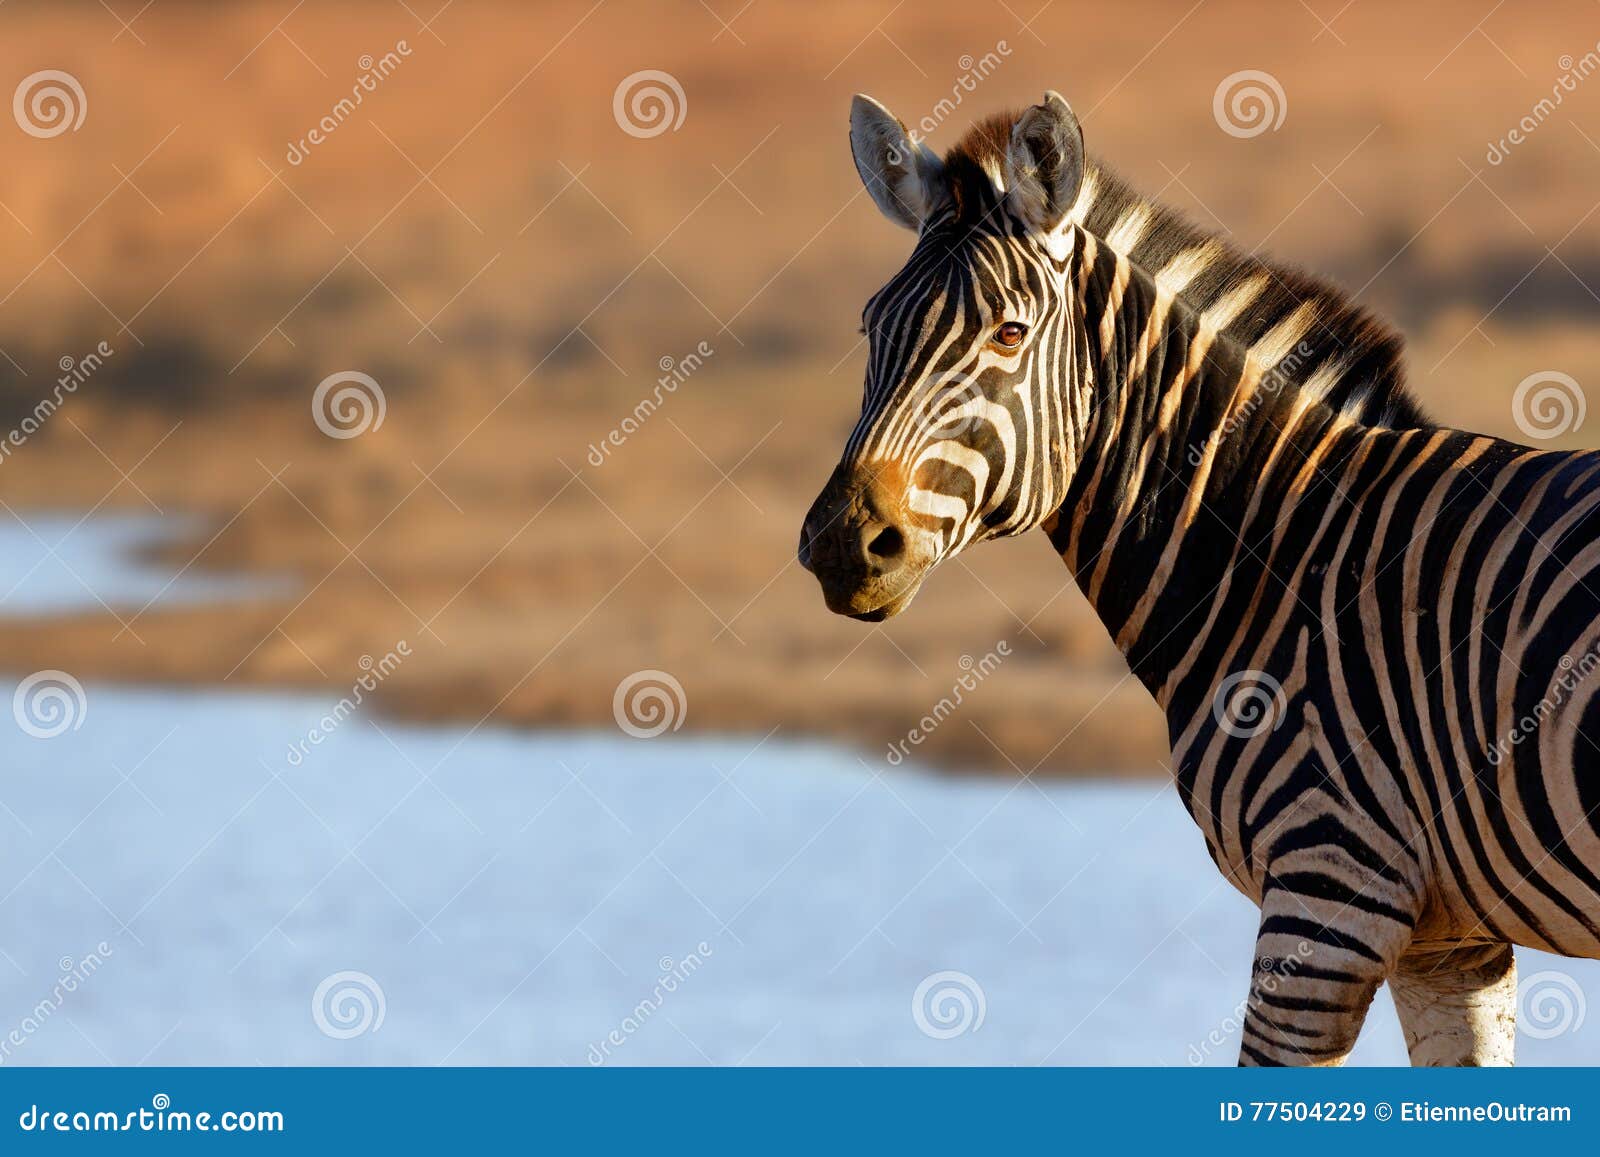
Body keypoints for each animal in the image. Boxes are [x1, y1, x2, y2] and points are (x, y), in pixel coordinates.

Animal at [798, 91, 1600, 1066]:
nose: (841, 542)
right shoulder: (1449, 938)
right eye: (871, 328)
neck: (1284, 550)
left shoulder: (1330, 886)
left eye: (1008, 334)